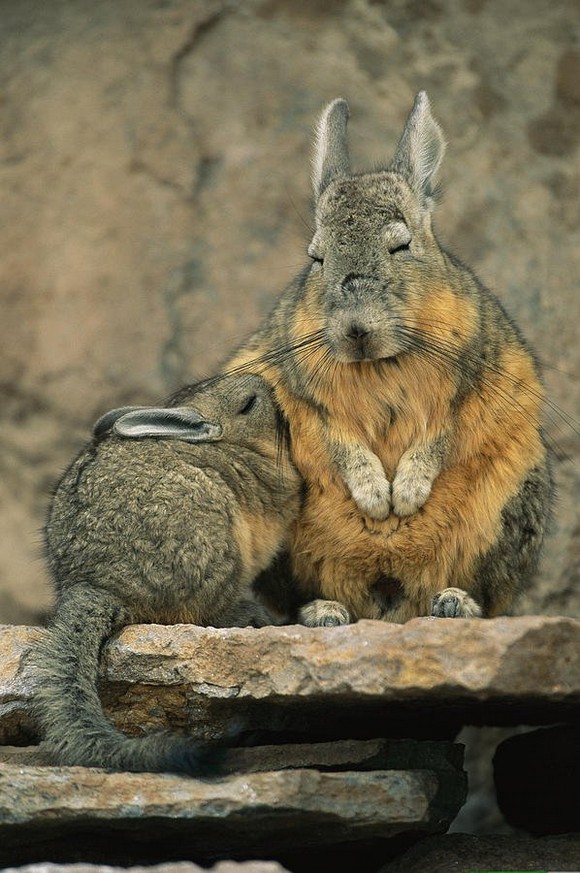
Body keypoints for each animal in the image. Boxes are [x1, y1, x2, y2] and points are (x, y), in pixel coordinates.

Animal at [30, 372, 301, 774]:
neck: (233, 445)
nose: (266, 382)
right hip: (214, 543)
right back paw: (256, 616)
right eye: (249, 404)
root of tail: (93, 586)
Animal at [224, 92, 553, 626]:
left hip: (512, 503)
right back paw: (324, 611)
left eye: (401, 246)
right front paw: (378, 502)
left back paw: (454, 604)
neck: (379, 361)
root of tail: (388, 600)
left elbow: (439, 435)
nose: (356, 329)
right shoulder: (300, 397)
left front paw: (406, 497)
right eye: (316, 258)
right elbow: (338, 439)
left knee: (482, 595)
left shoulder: (468, 386)